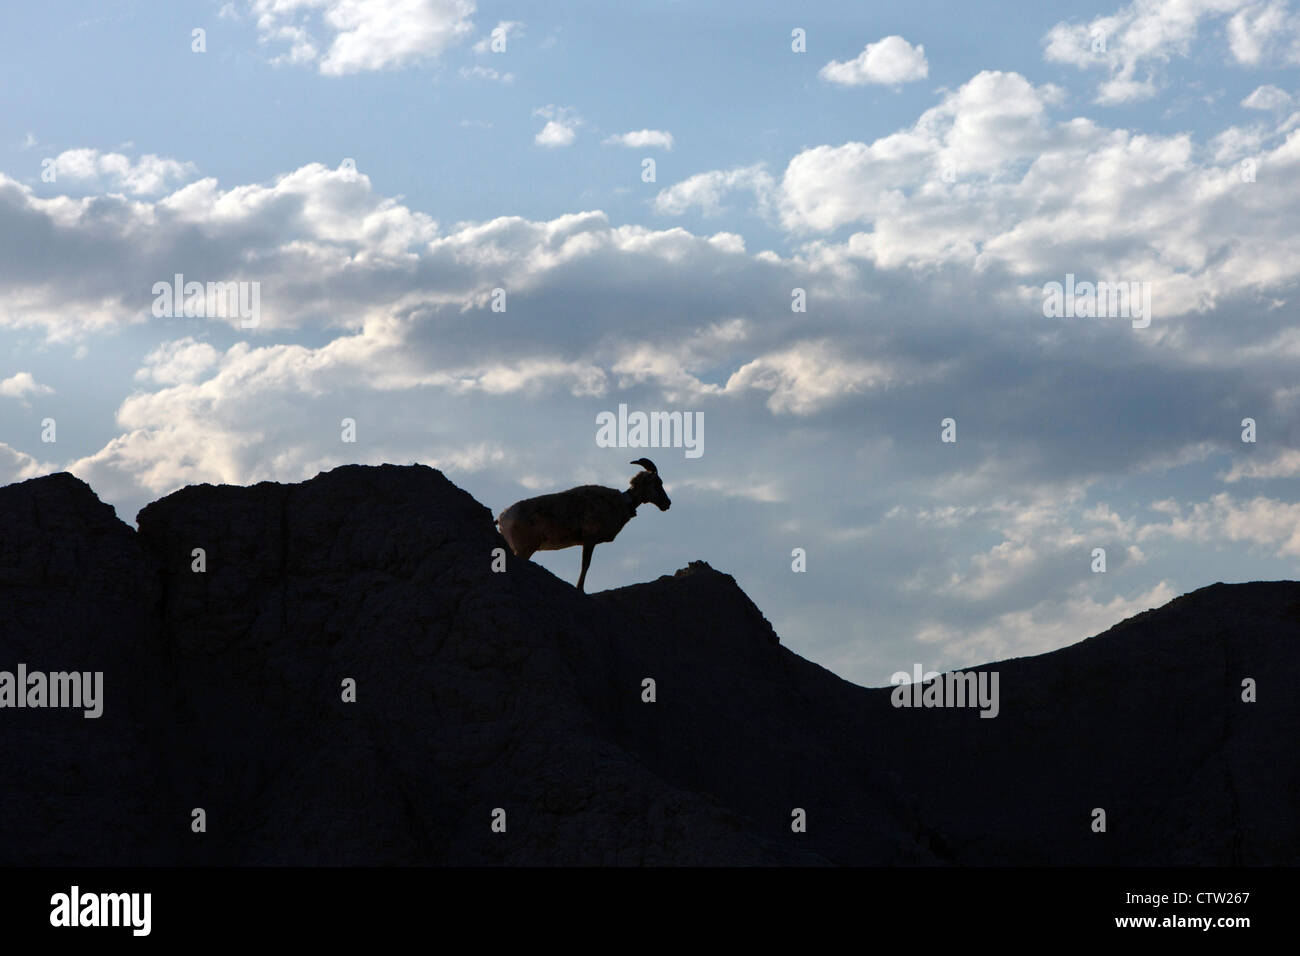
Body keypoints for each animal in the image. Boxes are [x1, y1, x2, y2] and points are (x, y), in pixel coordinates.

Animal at [495, 458, 671, 592]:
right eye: (658, 483)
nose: (667, 503)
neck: (620, 503)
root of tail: (502, 518)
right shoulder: (589, 541)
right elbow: (585, 565)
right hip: (524, 549)